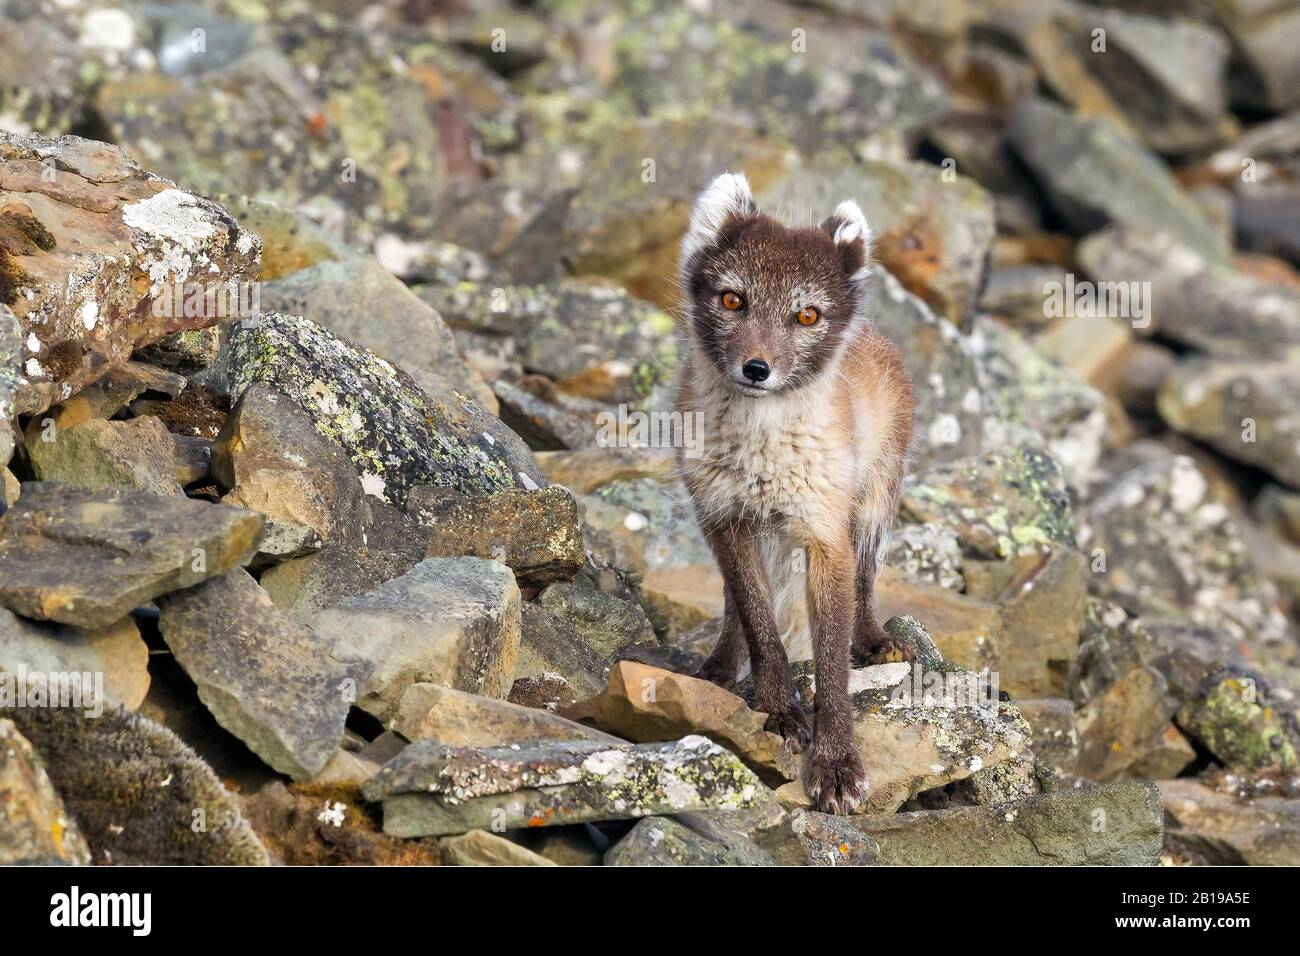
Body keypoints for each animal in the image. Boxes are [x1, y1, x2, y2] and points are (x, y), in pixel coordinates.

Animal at [674, 172, 915, 814]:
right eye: (733, 300)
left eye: (806, 316)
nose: (757, 369)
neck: (761, 452)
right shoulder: (724, 517)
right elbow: (759, 620)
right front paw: (780, 710)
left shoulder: (825, 537)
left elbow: (830, 661)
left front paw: (835, 764)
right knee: (735, 604)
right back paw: (721, 666)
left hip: (873, 505)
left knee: (866, 580)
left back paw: (874, 640)